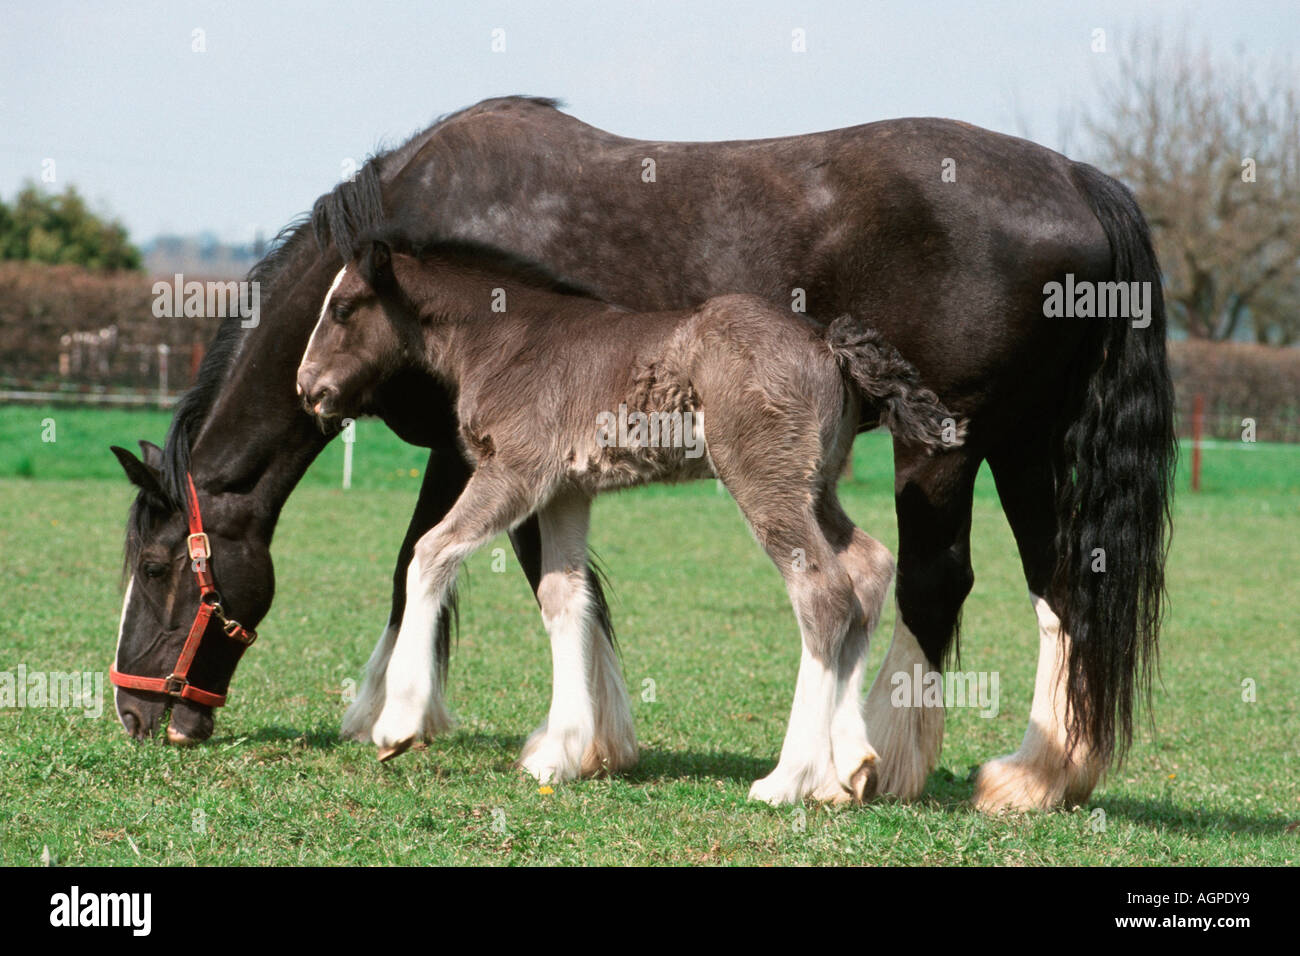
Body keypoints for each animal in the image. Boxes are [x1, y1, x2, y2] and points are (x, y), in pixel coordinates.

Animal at [294, 233, 964, 803]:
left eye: (344, 308)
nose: (307, 388)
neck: (505, 340)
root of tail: (830, 345)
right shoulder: (564, 491)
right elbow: (564, 595)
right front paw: (560, 755)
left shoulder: (515, 471)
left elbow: (430, 552)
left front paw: (397, 724)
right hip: (815, 486)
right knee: (868, 567)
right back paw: (847, 766)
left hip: (763, 479)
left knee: (822, 592)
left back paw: (788, 779)